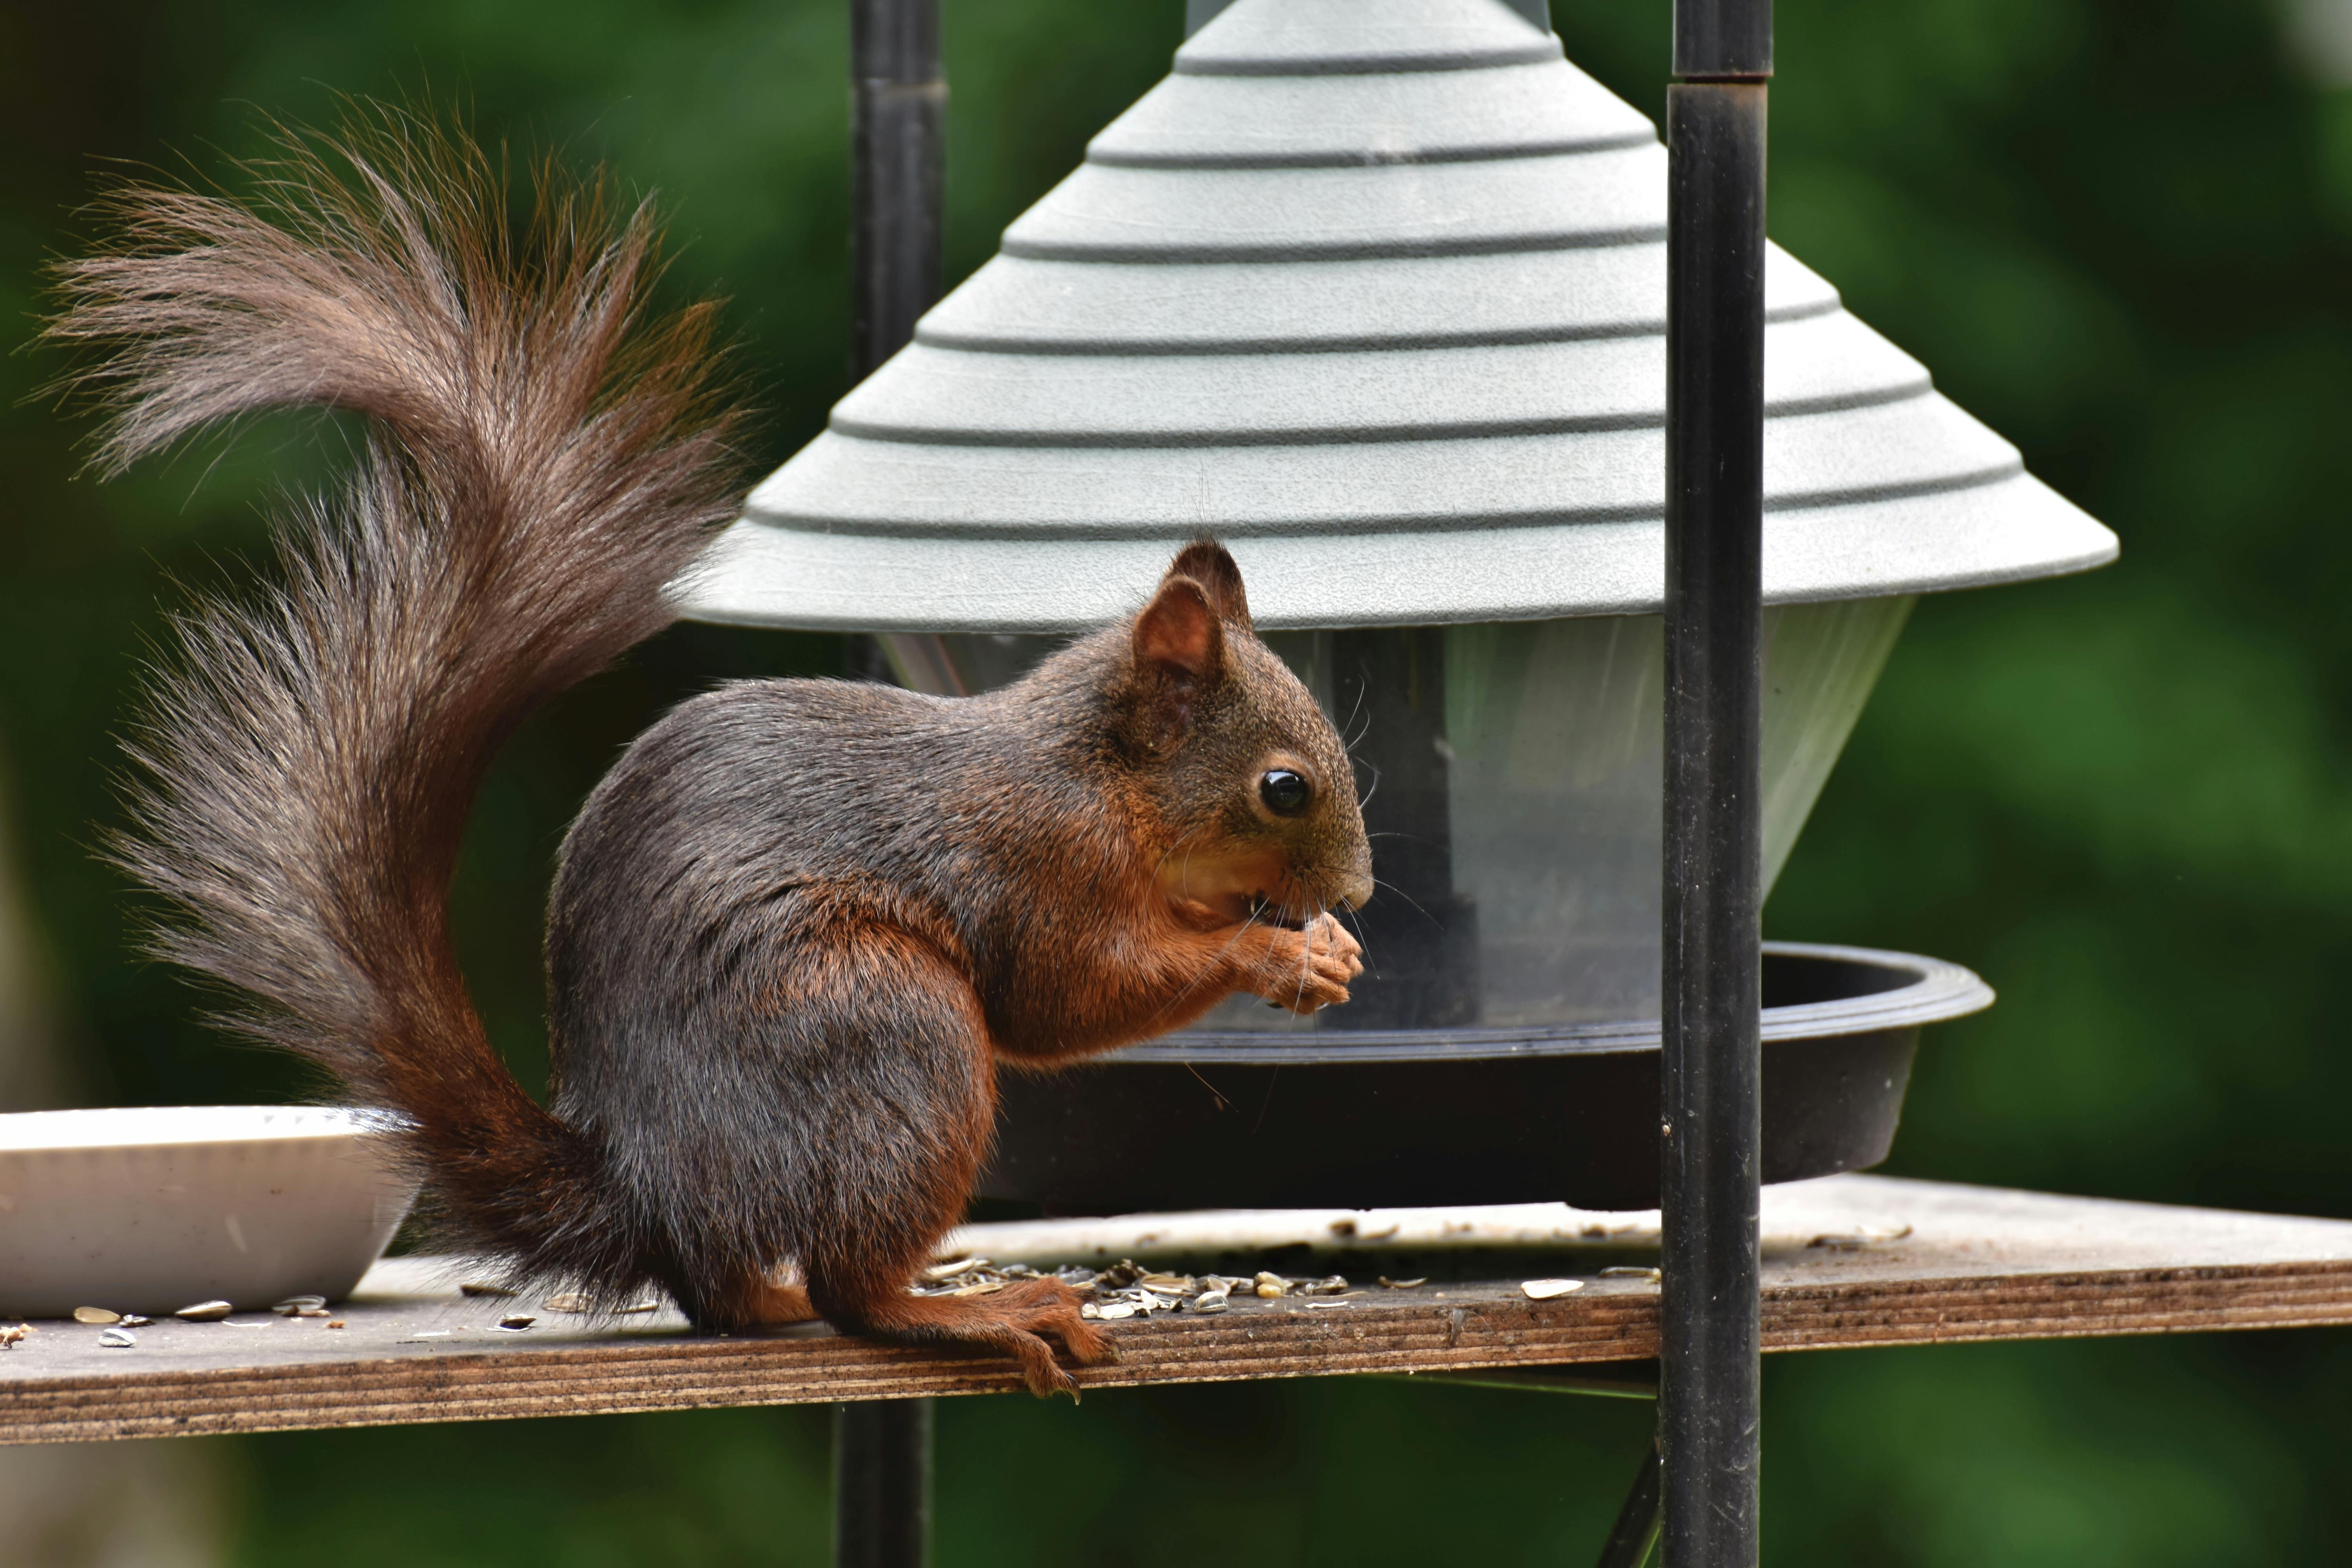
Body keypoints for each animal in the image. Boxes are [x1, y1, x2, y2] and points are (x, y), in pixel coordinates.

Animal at [46, 116, 1373, 1398]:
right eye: (1283, 787)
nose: (1358, 892)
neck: (1104, 783)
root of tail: (653, 1190)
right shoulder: (1031, 861)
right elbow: (1071, 994)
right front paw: (1275, 951)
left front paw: (1325, 946)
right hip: (888, 1029)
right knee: (857, 1284)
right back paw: (972, 1310)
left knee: (734, 1296)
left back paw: (774, 1304)